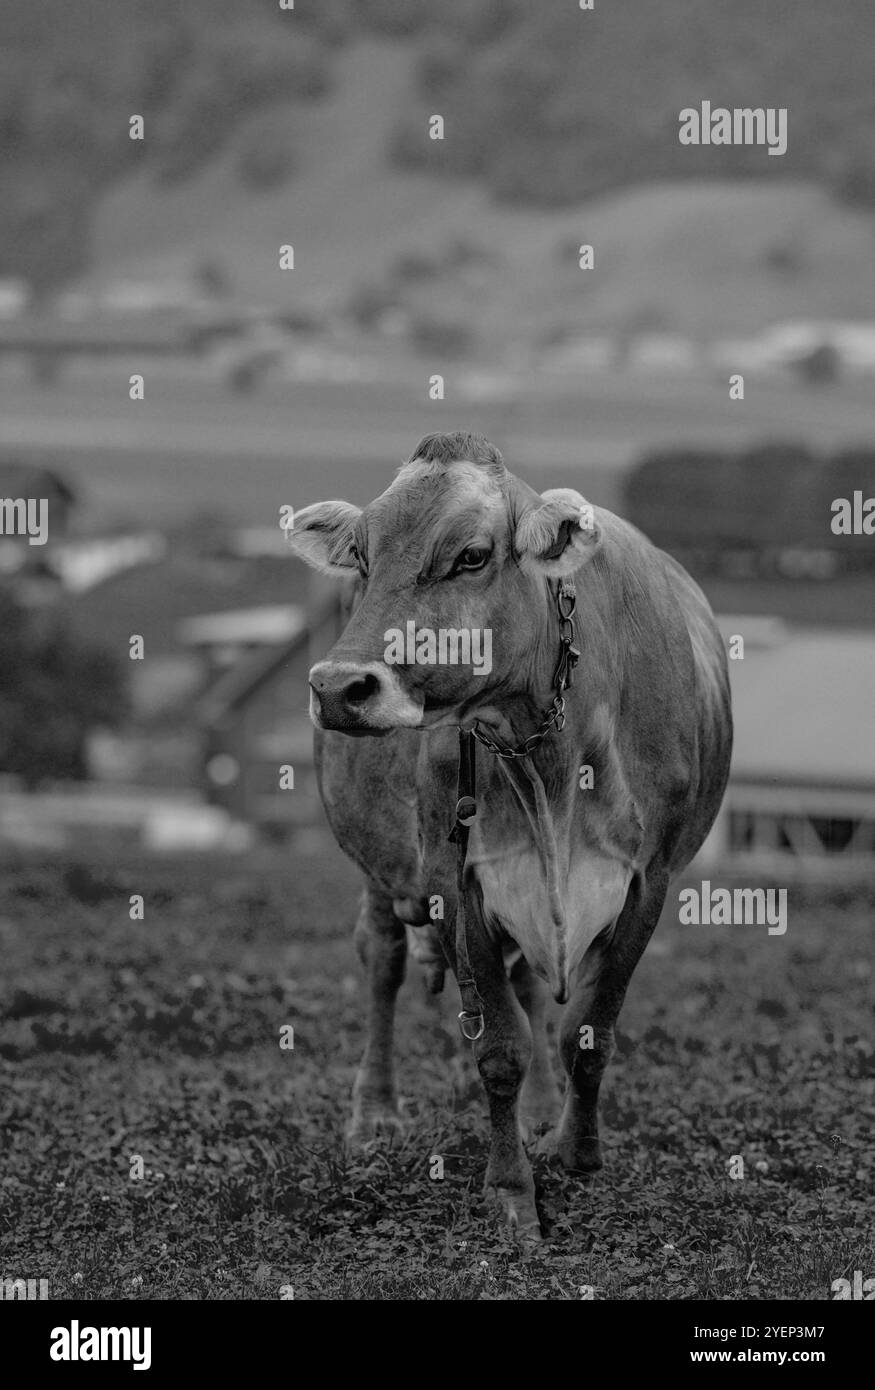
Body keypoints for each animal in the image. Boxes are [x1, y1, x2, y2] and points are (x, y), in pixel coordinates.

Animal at [289, 430, 732, 1237]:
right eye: (363, 557)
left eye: (470, 555)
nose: (338, 688)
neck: (545, 759)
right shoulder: (456, 878)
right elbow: (498, 1049)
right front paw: (511, 1193)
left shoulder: (647, 881)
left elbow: (587, 1031)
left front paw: (576, 1153)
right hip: (376, 865)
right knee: (381, 959)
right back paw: (374, 1116)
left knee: (530, 987)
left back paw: (538, 1115)